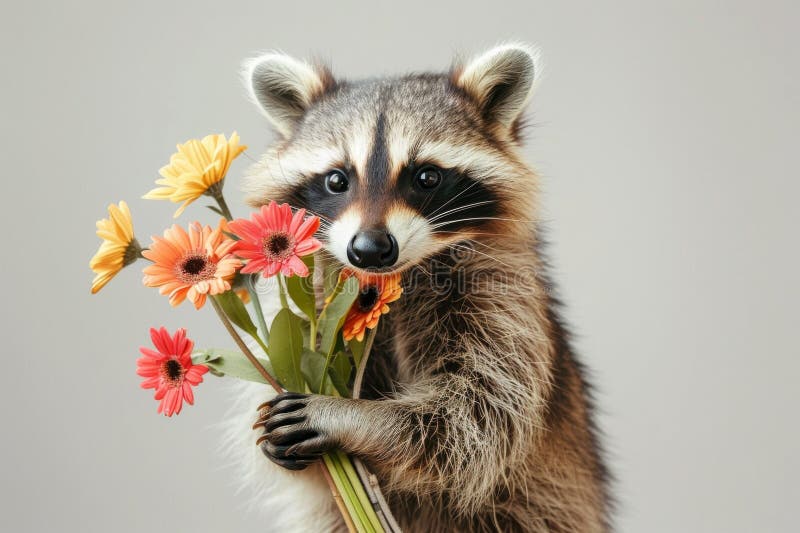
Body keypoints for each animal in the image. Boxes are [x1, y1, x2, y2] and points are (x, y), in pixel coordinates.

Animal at [233, 44, 611, 532]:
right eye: (337, 180)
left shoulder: (503, 296)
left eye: (426, 177)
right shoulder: (318, 295)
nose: (370, 249)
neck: (394, 278)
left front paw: (352, 417)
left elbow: (477, 414)